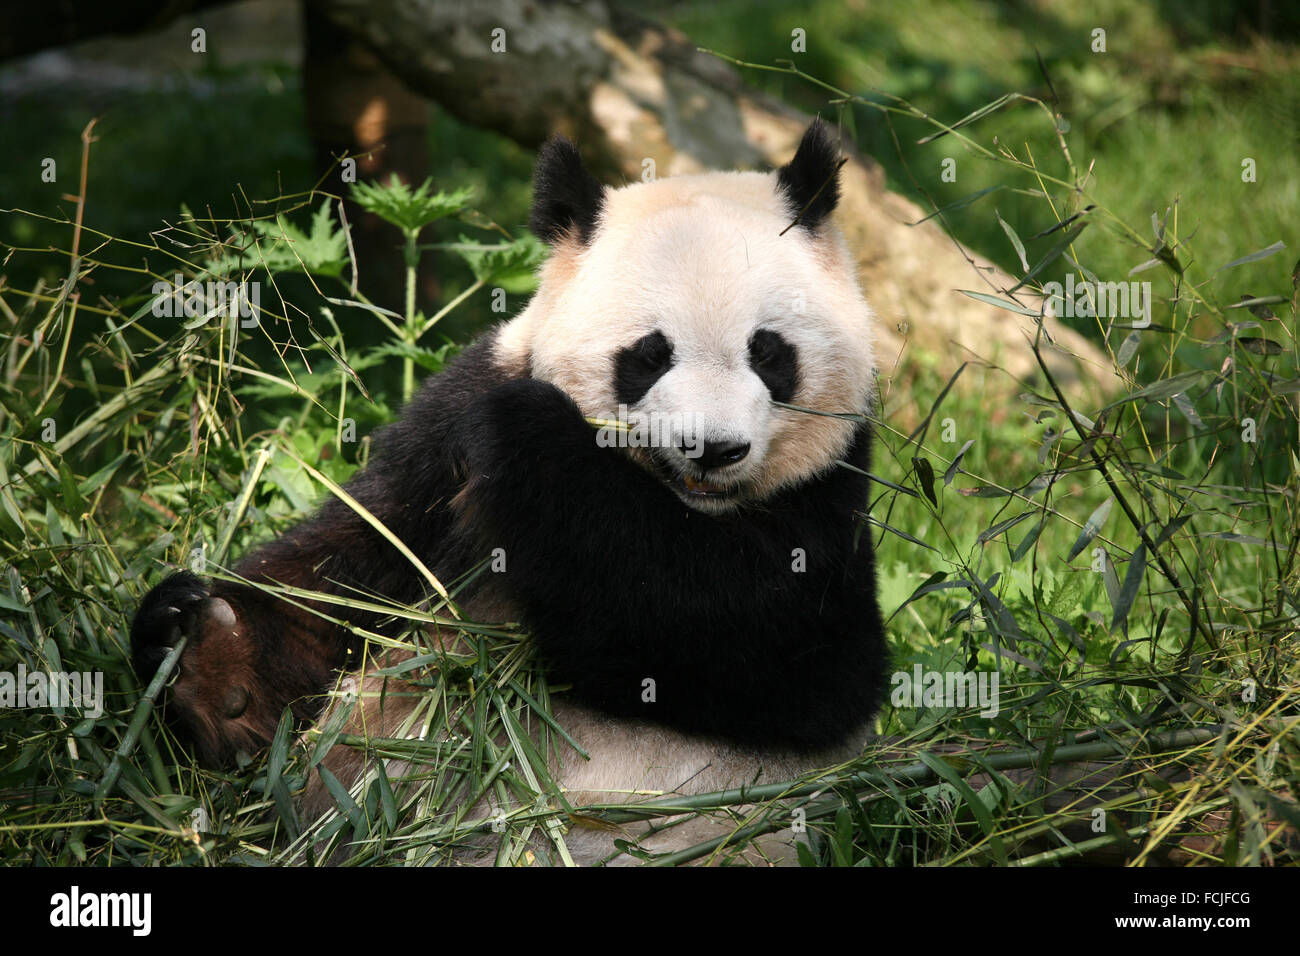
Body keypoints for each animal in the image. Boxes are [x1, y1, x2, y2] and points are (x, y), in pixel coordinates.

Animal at [130, 118, 889, 864]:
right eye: (649, 355)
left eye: (768, 351)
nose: (714, 447)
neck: (683, 506)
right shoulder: (448, 432)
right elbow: (349, 575)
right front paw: (208, 657)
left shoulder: (828, 497)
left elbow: (777, 651)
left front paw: (532, 436)